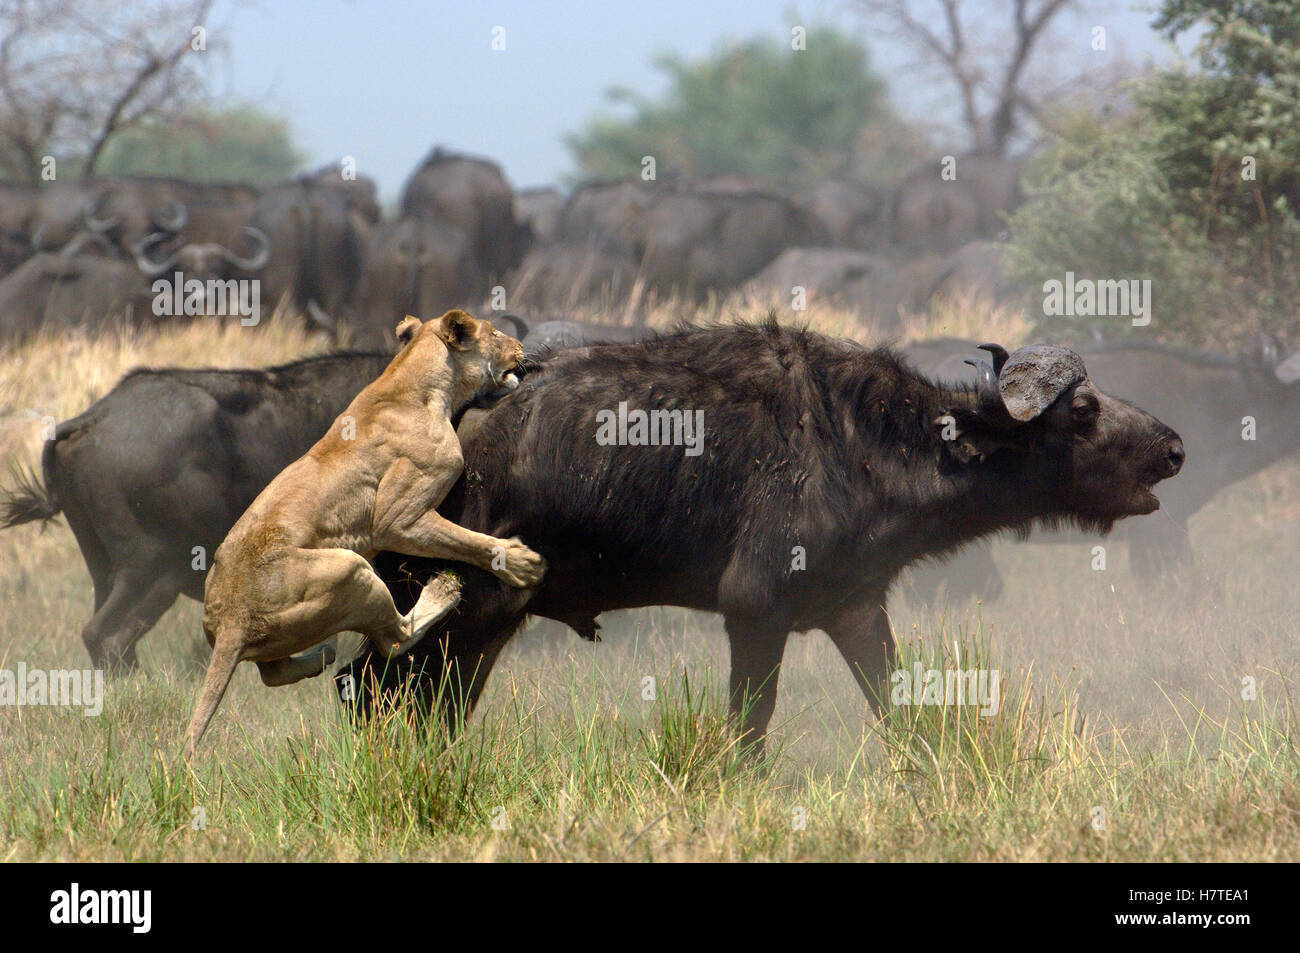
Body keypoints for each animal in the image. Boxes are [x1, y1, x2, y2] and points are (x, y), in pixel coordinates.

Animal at [183, 309, 546, 757]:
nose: (520, 347)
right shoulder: (398, 518)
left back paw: (319, 656)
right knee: (395, 639)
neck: (414, 381)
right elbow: (467, 540)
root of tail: (230, 620)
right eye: (495, 333)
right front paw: (521, 564)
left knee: (271, 672)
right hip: (350, 569)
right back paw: (441, 591)